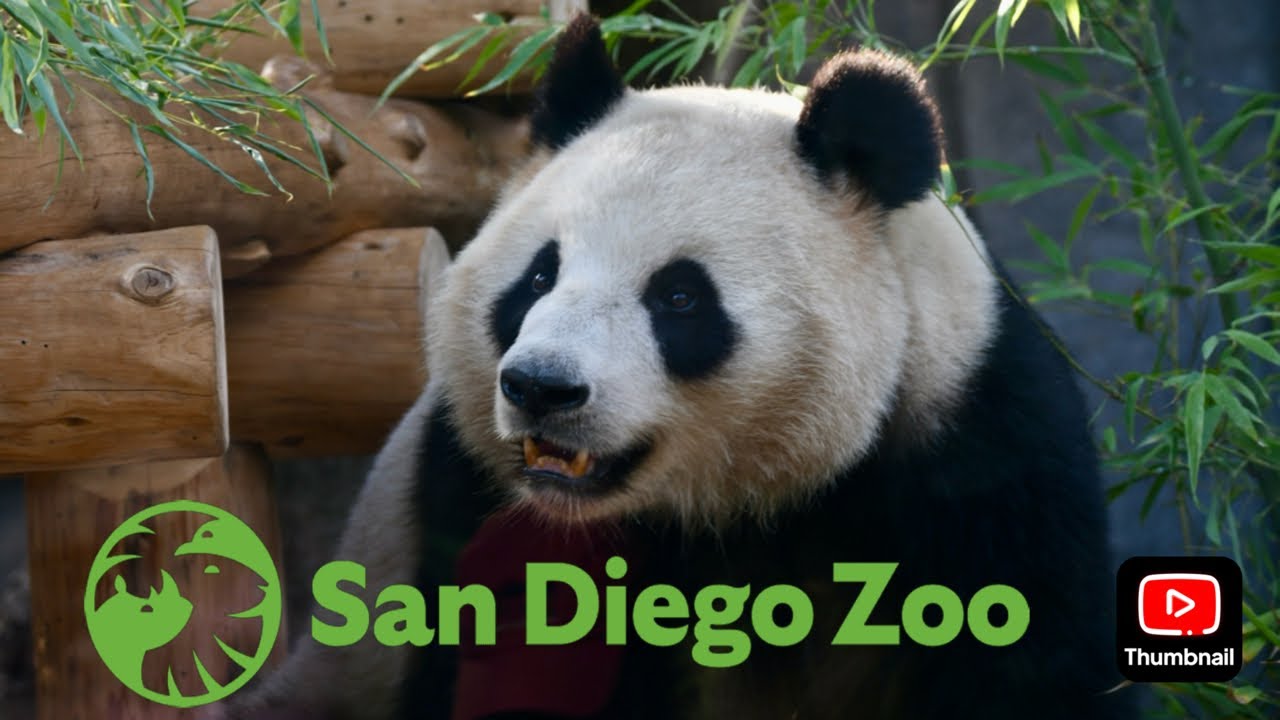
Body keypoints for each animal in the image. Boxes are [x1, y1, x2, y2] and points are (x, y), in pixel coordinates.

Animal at [220, 14, 1130, 720]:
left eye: (681, 298)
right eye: (539, 276)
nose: (542, 388)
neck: (749, 508)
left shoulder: (975, 448)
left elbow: (1026, 659)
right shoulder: (466, 498)